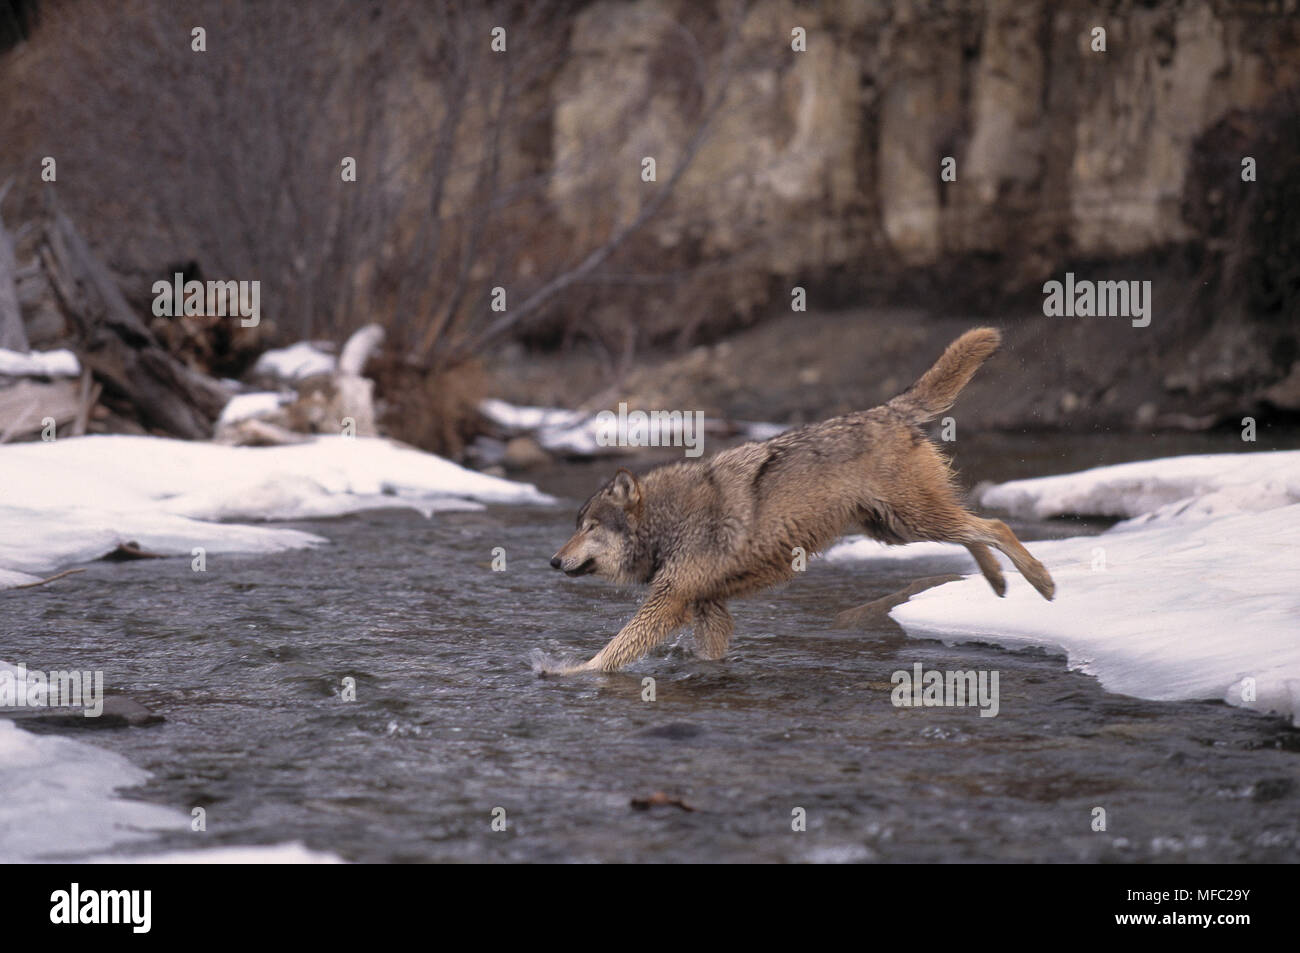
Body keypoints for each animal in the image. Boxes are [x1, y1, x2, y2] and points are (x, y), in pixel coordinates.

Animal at [543, 328, 1054, 674]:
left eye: (589, 528)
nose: (552, 560)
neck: (669, 523)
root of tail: (888, 409)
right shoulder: (708, 608)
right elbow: (703, 654)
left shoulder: (669, 602)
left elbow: (613, 650)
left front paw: (569, 673)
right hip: (895, 529)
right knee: (976, 530)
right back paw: (997, 582)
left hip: (912, 521)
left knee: (994, 526)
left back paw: (1041, 581)